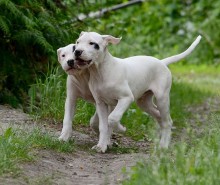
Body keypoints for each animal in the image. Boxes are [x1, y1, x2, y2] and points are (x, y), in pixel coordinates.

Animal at [72, 32, 201, 153]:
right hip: (144, 102)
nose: (77, 51)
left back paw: (163, 145)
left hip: (162, 98)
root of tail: (162, 62)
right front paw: (101, 146)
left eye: (92, 43)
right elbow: (103, 126)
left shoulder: (126, 98)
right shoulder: (101, 103)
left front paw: (121, 128)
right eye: (77, 42)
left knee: (167, 121)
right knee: (160, 116)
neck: (100, 71)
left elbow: (113, 118)